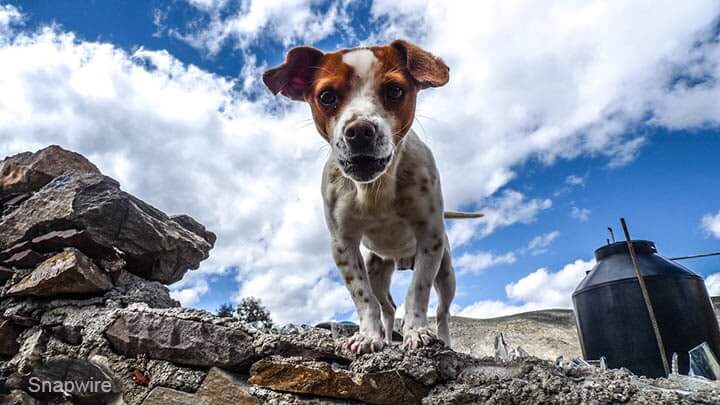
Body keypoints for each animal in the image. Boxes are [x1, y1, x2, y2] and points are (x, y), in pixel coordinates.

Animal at [262, 39, 478, 352]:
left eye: (395, 90)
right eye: (326, 96)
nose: (360, 131)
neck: (375, 187)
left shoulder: (430, 238)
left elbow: (418, 291)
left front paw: (416, 331)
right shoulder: (343, 244)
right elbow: (363, 297)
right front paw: (368, 336)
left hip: (446, 272)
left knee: (442, 311)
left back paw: (444, 339)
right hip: (377, 268)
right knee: (387, 306)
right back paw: (386, 337)